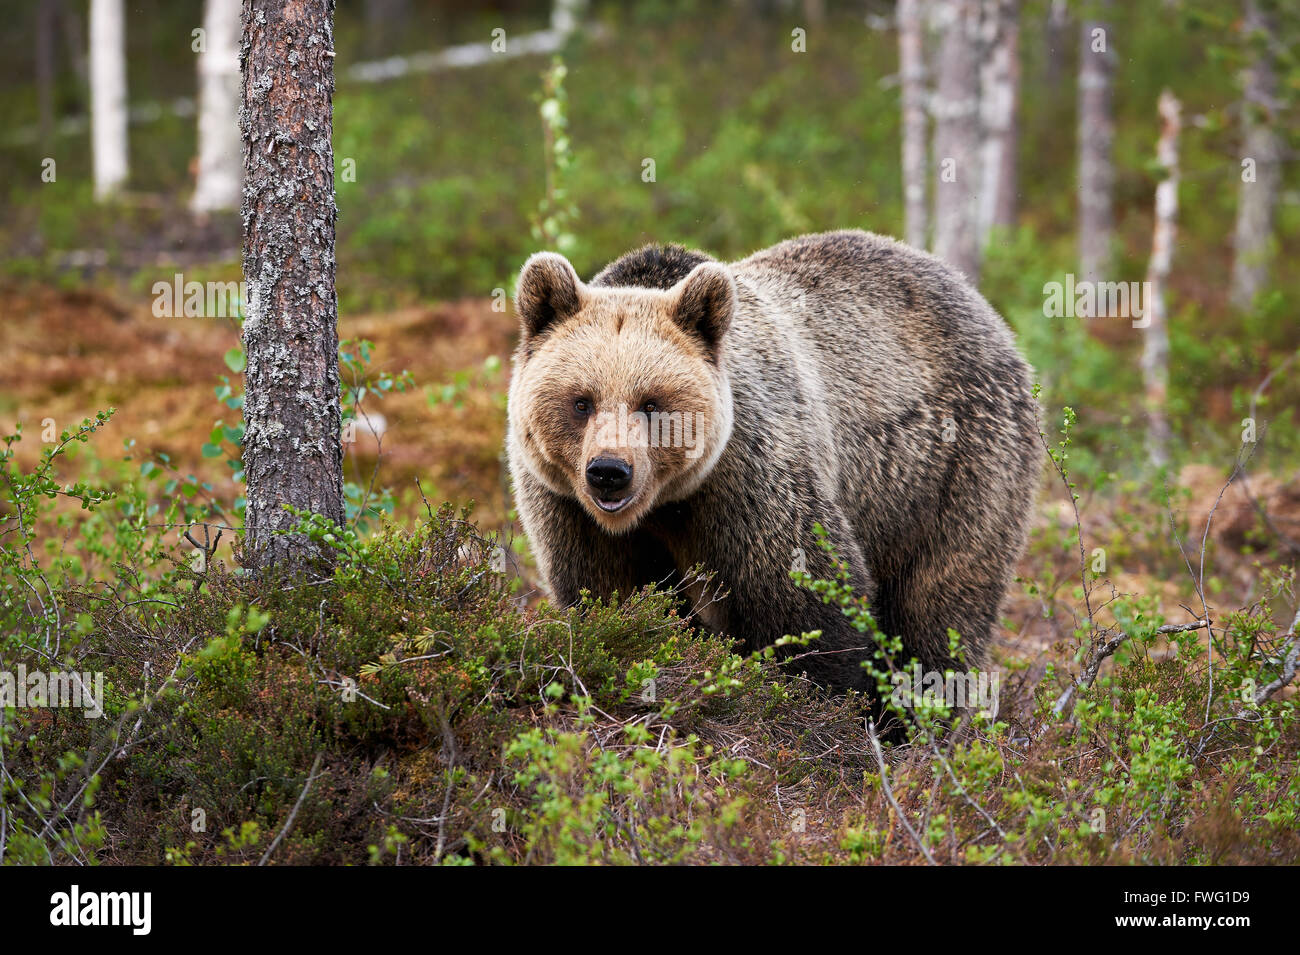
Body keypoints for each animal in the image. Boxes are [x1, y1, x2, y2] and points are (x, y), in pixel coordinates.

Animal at [506, 229, 1042, 697]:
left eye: (651, 403)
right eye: (581, 401)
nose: (609, 472)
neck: (669, 503)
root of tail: (981, 305)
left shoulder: (754, 477)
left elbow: (804, 600)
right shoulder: (569, 509)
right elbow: (610, 596)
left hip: (956, 470)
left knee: (938, 606)